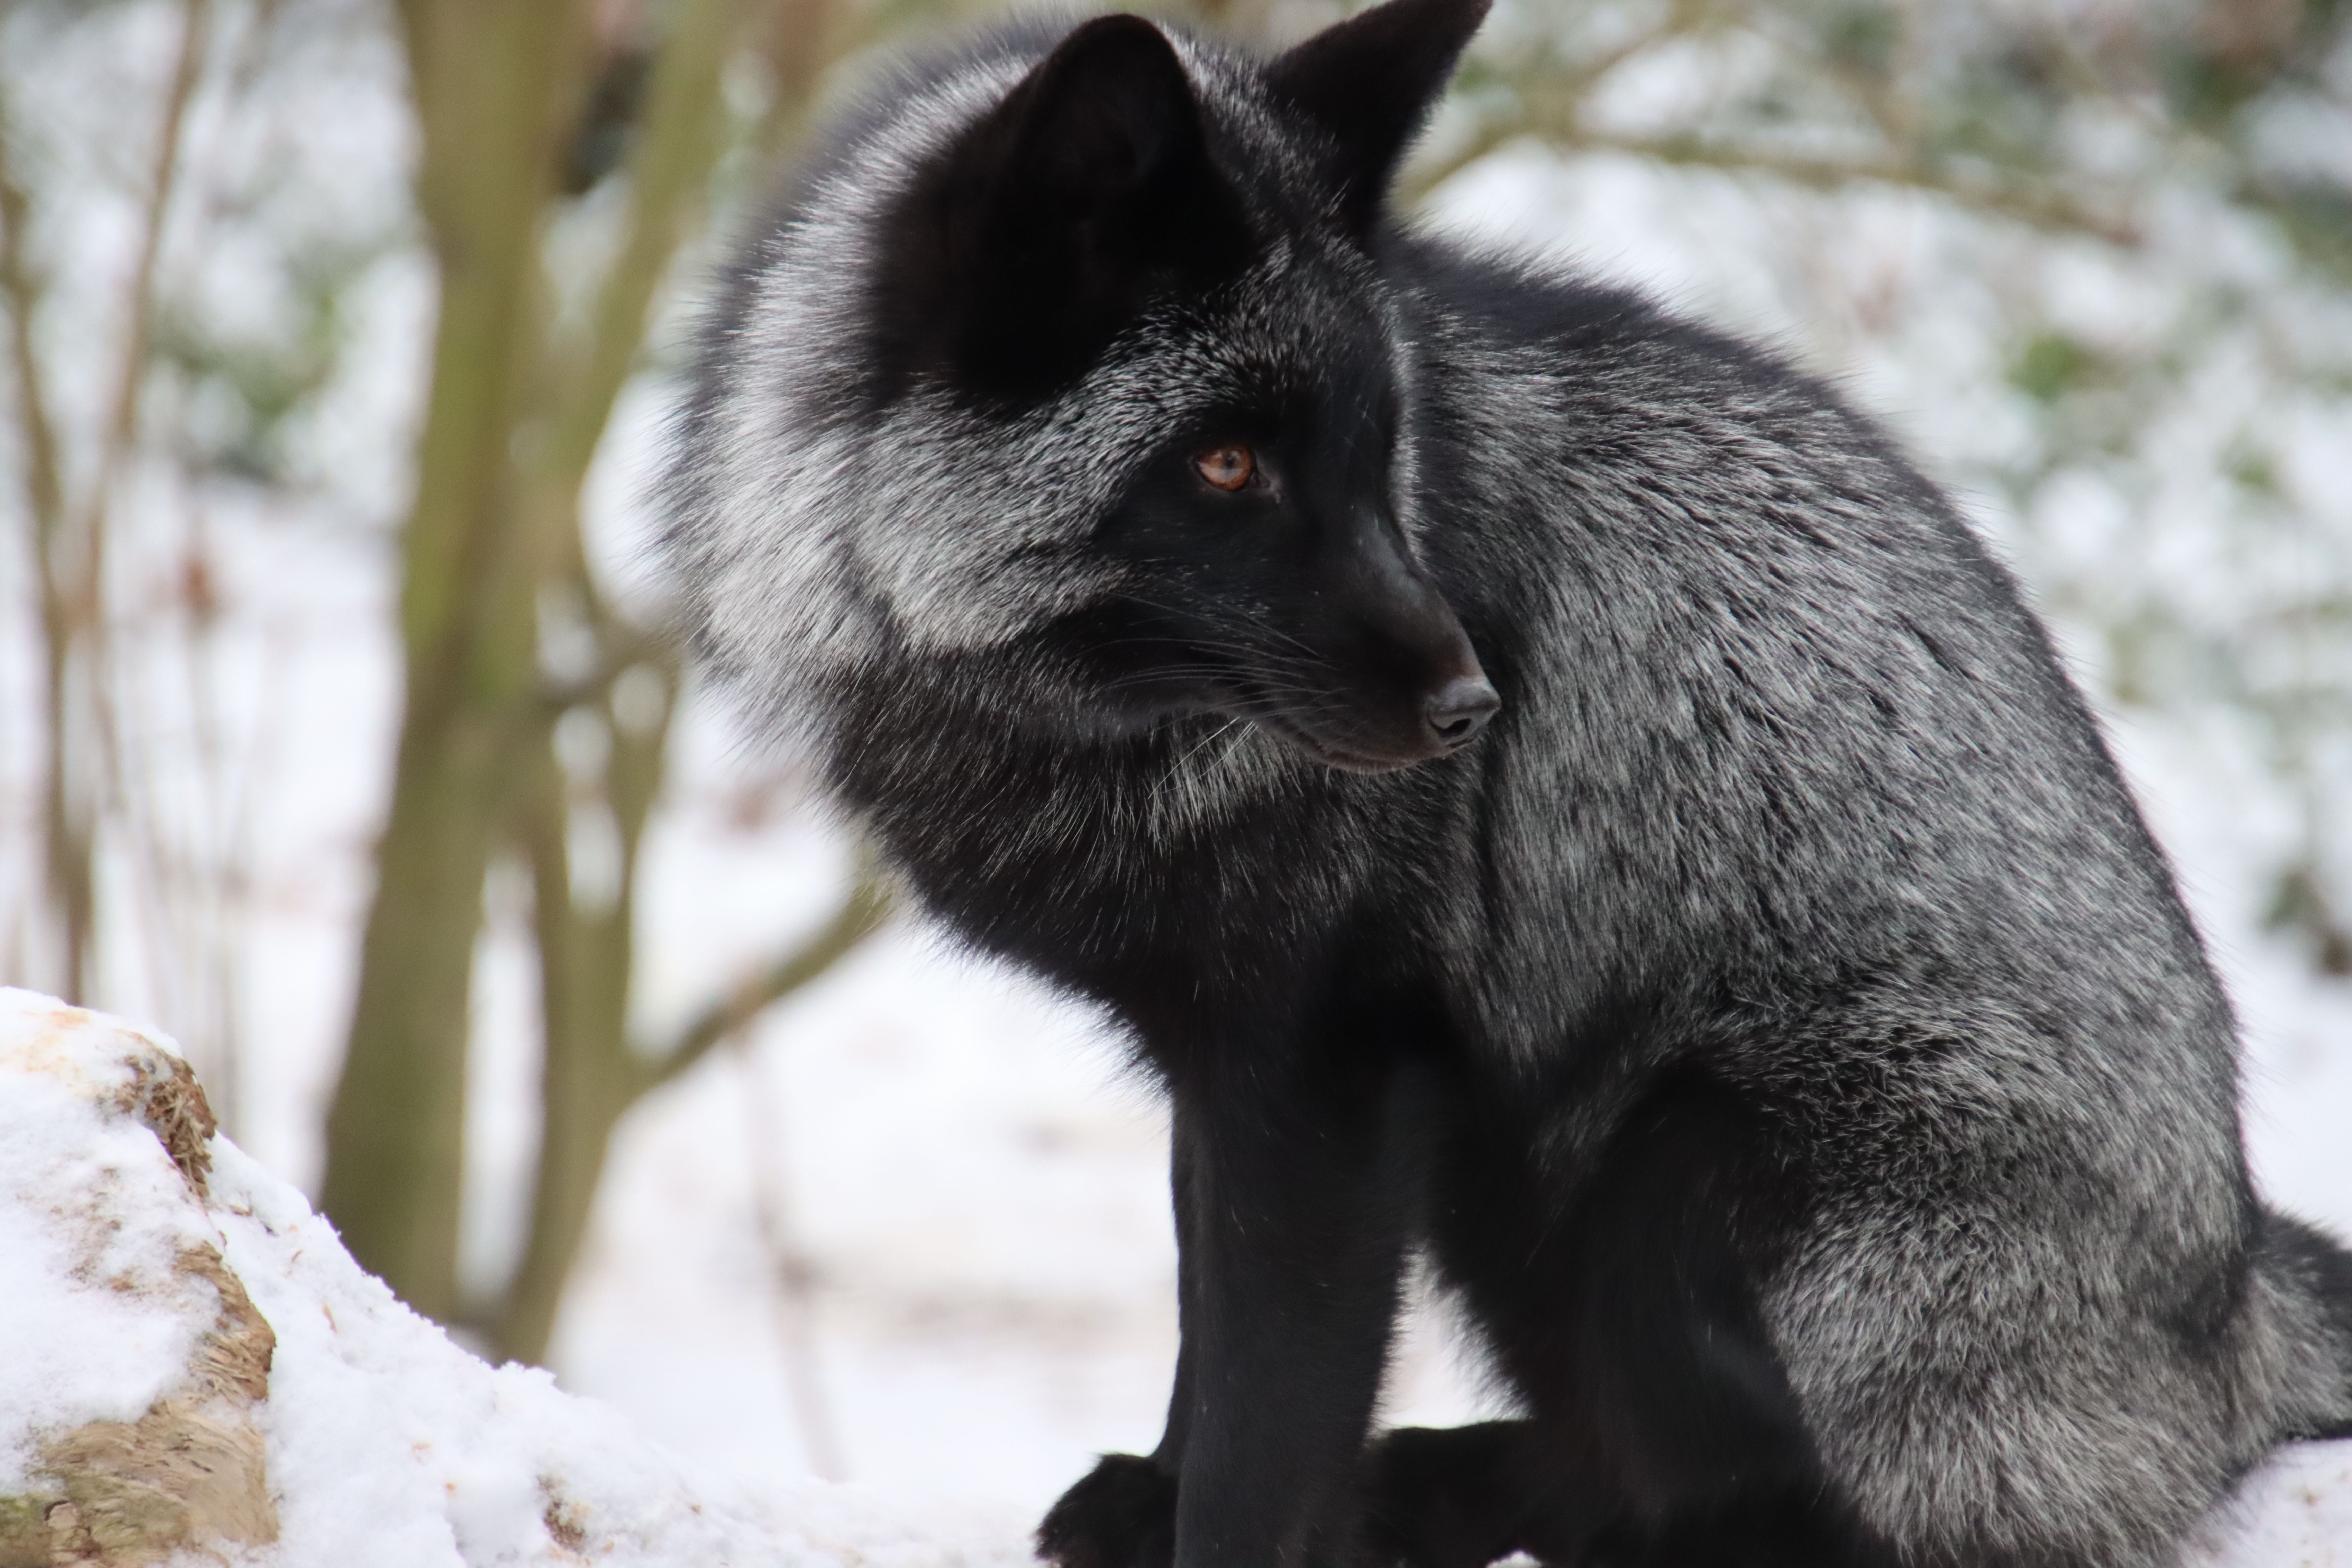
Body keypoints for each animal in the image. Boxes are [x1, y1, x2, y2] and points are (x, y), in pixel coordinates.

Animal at [659, 0, 2352, 1562]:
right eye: (1226, 464)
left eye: (1380, 449)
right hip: (1510, 1179)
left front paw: (1225, 1520)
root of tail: (2236, 1299)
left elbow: (1267, 1417)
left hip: (1678, 1167)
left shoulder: (1337, 1066)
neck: (1069, 720)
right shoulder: (1234, 1063)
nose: (1473, 706)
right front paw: (1164, 1489)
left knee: (1769, 1501)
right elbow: (1211, 1328)